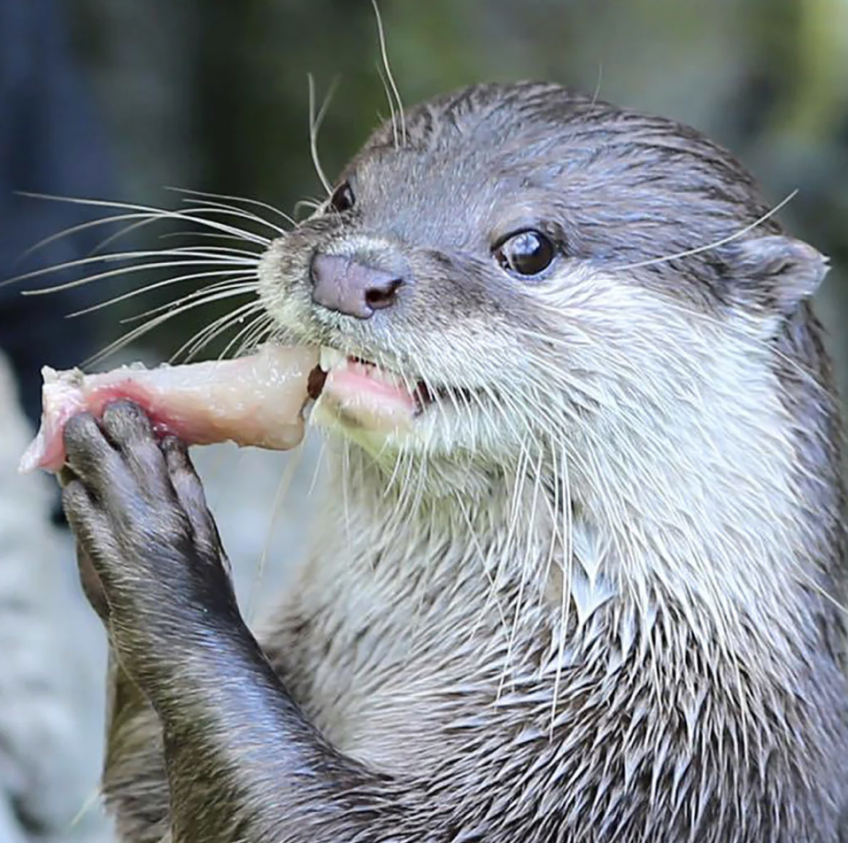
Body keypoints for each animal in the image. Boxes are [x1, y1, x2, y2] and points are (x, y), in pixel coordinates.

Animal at [58, 82, 848, 842]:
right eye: (346, 194)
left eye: (529, 247)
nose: (348, 273)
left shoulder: (655, 777)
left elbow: (300, 819)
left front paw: (155, 529)